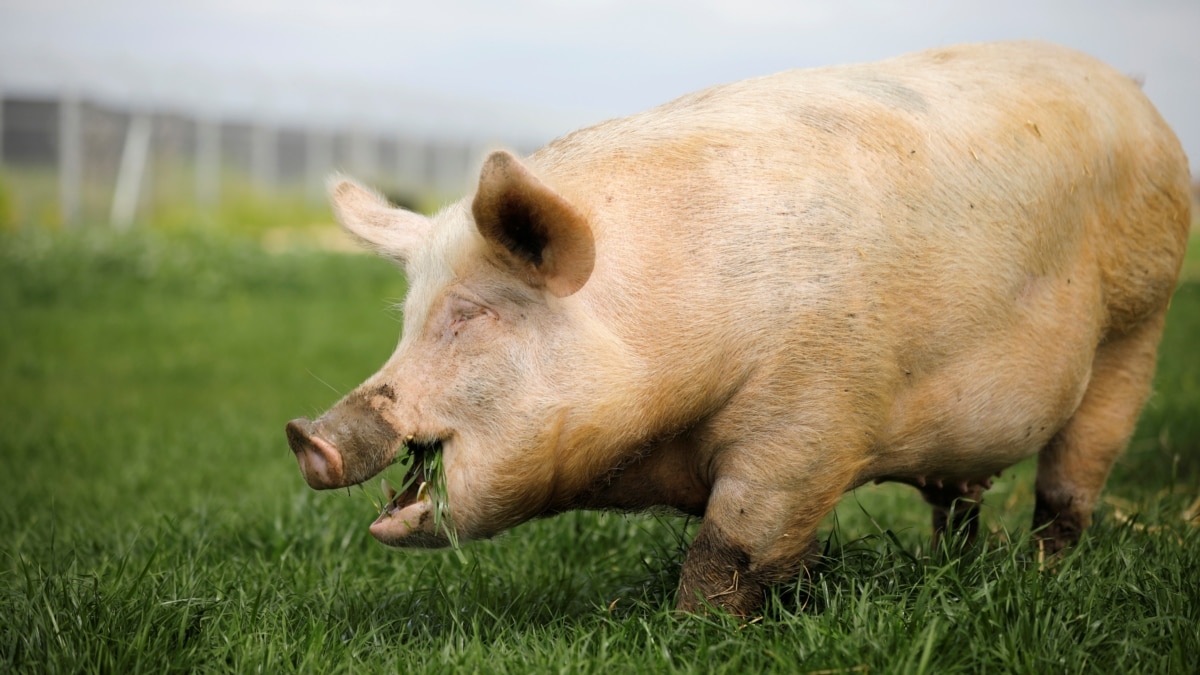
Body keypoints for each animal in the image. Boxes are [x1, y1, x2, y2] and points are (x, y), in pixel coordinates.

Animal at [286, 40, 1191, 616]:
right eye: (408, 317)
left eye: (472, 314)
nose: (307, 433)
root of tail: (1140, 99)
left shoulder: (813, 412)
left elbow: (734, 543)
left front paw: (697, 630)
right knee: (961, 498)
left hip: (1139, 323)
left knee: (1070, 482)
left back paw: (1043, 573)